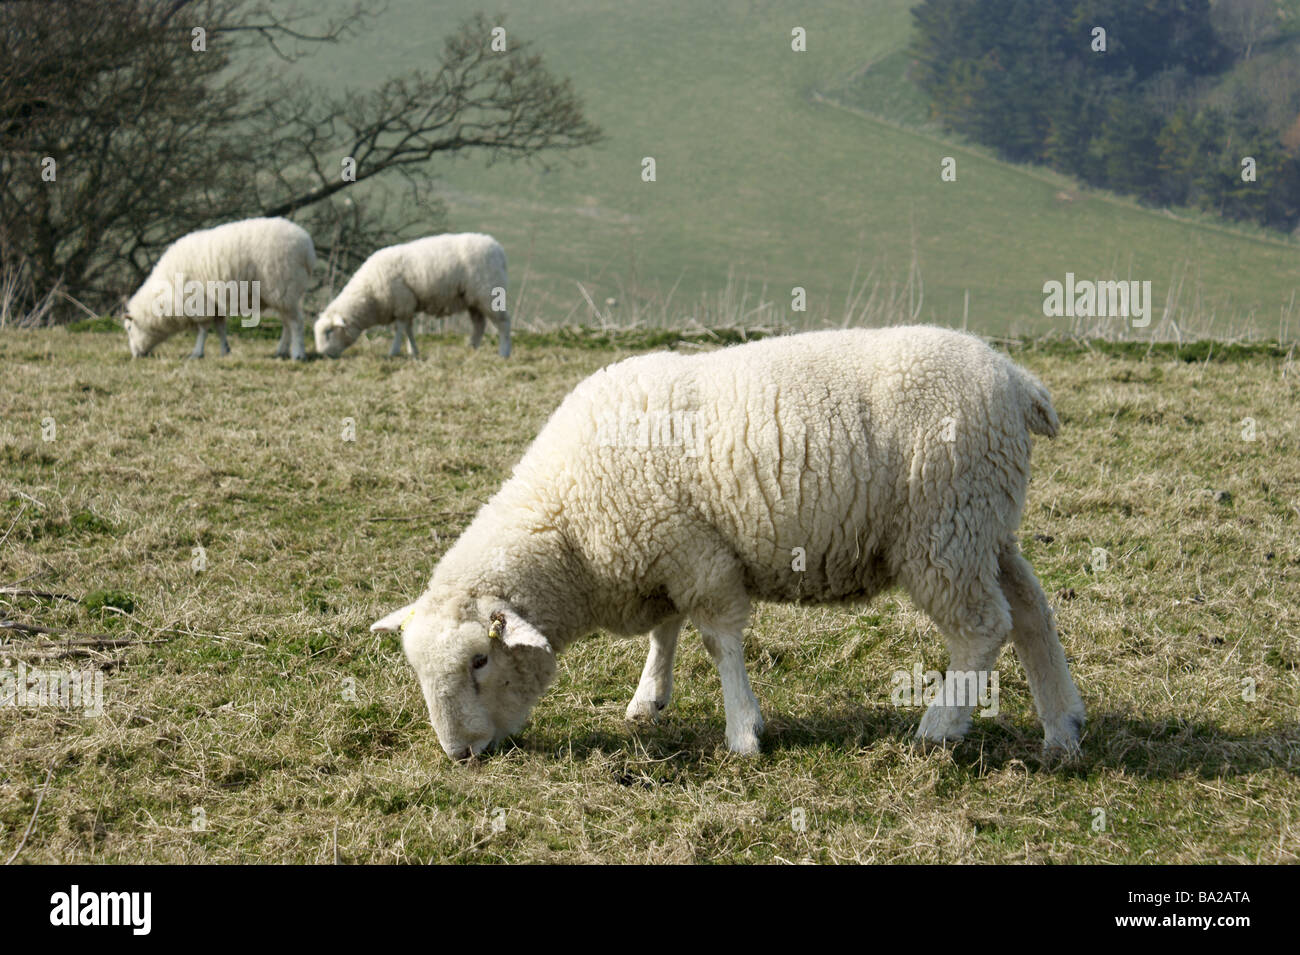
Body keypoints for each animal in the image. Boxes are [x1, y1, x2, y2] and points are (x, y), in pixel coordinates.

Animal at [123, 217, 316, 360]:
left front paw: (197, 353)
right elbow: (220, 328)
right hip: (282, 295)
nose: (135, 356)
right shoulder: (215, 304)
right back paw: (281, 351)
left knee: (296, 323)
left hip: (284, 287)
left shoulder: (199, 303)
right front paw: (225, 350)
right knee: (287, 324)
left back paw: (298, 354)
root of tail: (306, 247)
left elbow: (203, 330)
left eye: (129, 328)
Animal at [313, 233, 510, 359]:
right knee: (479, 325)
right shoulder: (407, 305)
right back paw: (472, 348)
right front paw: (412, 351)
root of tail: (498, 249)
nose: (322, 354)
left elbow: (400, 328)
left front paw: (394, 351)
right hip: (472, 298)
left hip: (489, 293)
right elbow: (408, 329)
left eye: (329, 332)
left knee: (503, 323)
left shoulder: (402, 303)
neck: (369, 294)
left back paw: (504, 353)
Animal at [370, 326, 1086, 762]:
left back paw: (938, 727)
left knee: (982, 627)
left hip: (944, 527)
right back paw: (1062, 728)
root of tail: (1018, 381)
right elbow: (666, 633)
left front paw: (744, 731)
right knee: (1031, 611)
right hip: (984, 523)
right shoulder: (662, 552)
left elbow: (716, 640)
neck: (567, 524)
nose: (459, 755)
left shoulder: (697, 555)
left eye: (479, 662)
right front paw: (647, 700)